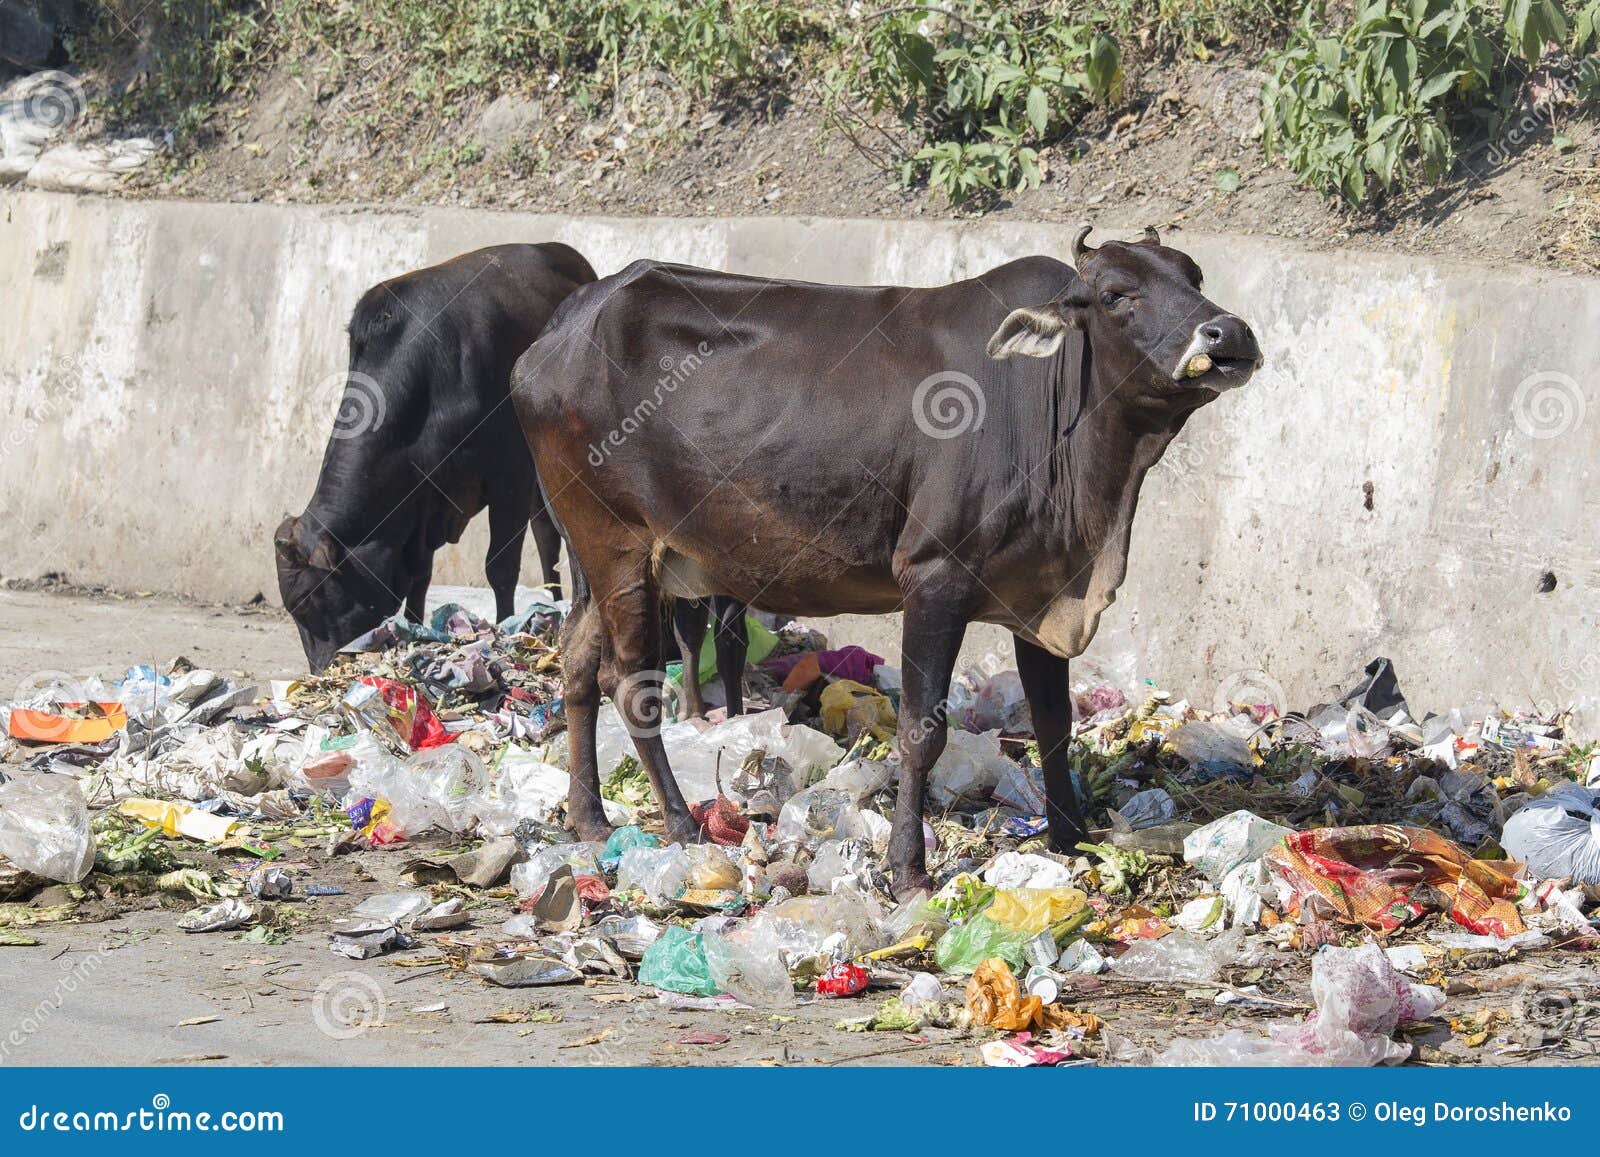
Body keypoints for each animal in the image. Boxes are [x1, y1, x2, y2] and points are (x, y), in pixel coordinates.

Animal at [277, 243, 596, 673]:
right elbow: (419, 576)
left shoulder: (508, 475)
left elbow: (500, 567)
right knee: (546, 532)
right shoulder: (421, 502)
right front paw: (413, 629)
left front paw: (503, 629)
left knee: (550, 535)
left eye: (305, 600)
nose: (322, 668)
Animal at [512, 227, 1261, 896]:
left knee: (576, 665)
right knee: (628, 683)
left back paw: (589, 818)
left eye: (1194, 275)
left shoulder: (1038, 591)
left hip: (597, 556)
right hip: (617, 545)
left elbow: (1054, 722)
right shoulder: (935, 579)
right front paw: (909, 871)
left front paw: (1072, 840)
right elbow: (920, 733)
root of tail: (558, 330)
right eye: (1115, 294)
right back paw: (677, 823)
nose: (1226, 334)